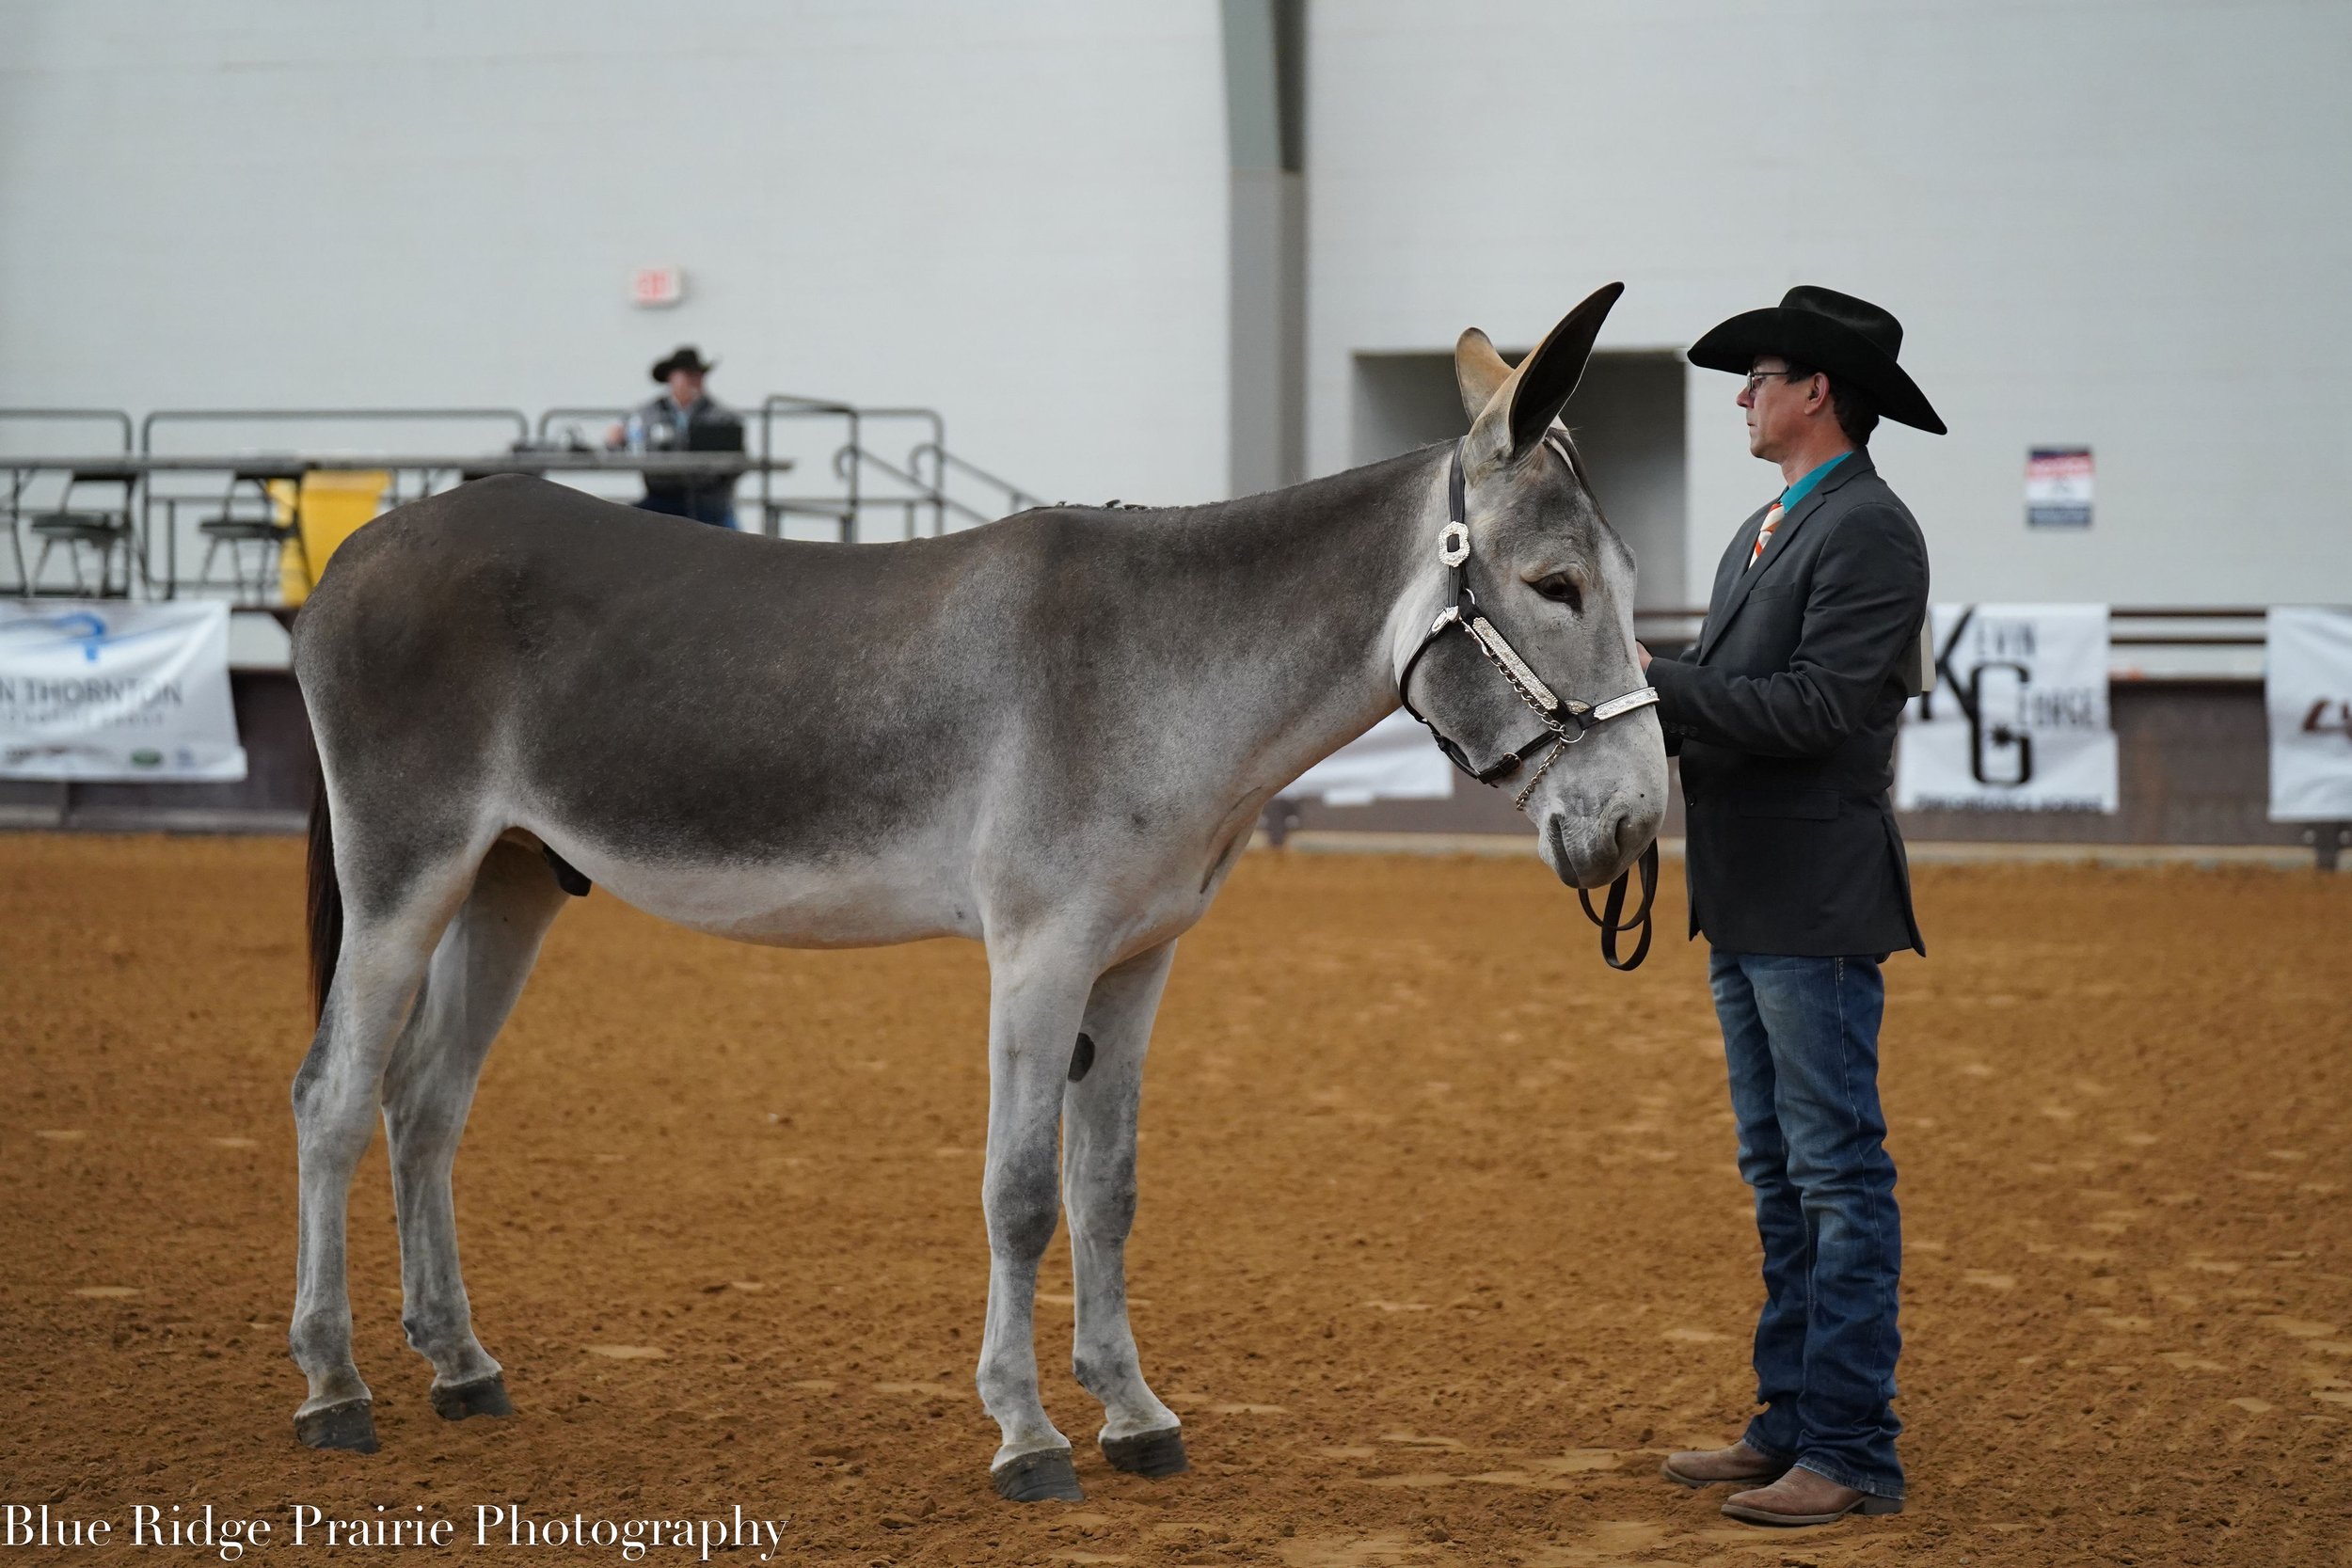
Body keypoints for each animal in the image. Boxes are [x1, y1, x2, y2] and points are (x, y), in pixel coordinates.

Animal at [284, 282, 1667, 1502]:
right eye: (1554, 585)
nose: (1638, 821)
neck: (1159, 660)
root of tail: (364, 547)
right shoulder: (1040, 951)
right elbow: (1018, 1193)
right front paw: (1027, 1435)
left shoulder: (1137, 959)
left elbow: (1107, 1189)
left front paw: (1135, 1414)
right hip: (404, 868)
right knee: (334, 1098)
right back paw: (333, 1386)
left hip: (509, 879)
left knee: (425, 1103)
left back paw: (460, 1366)